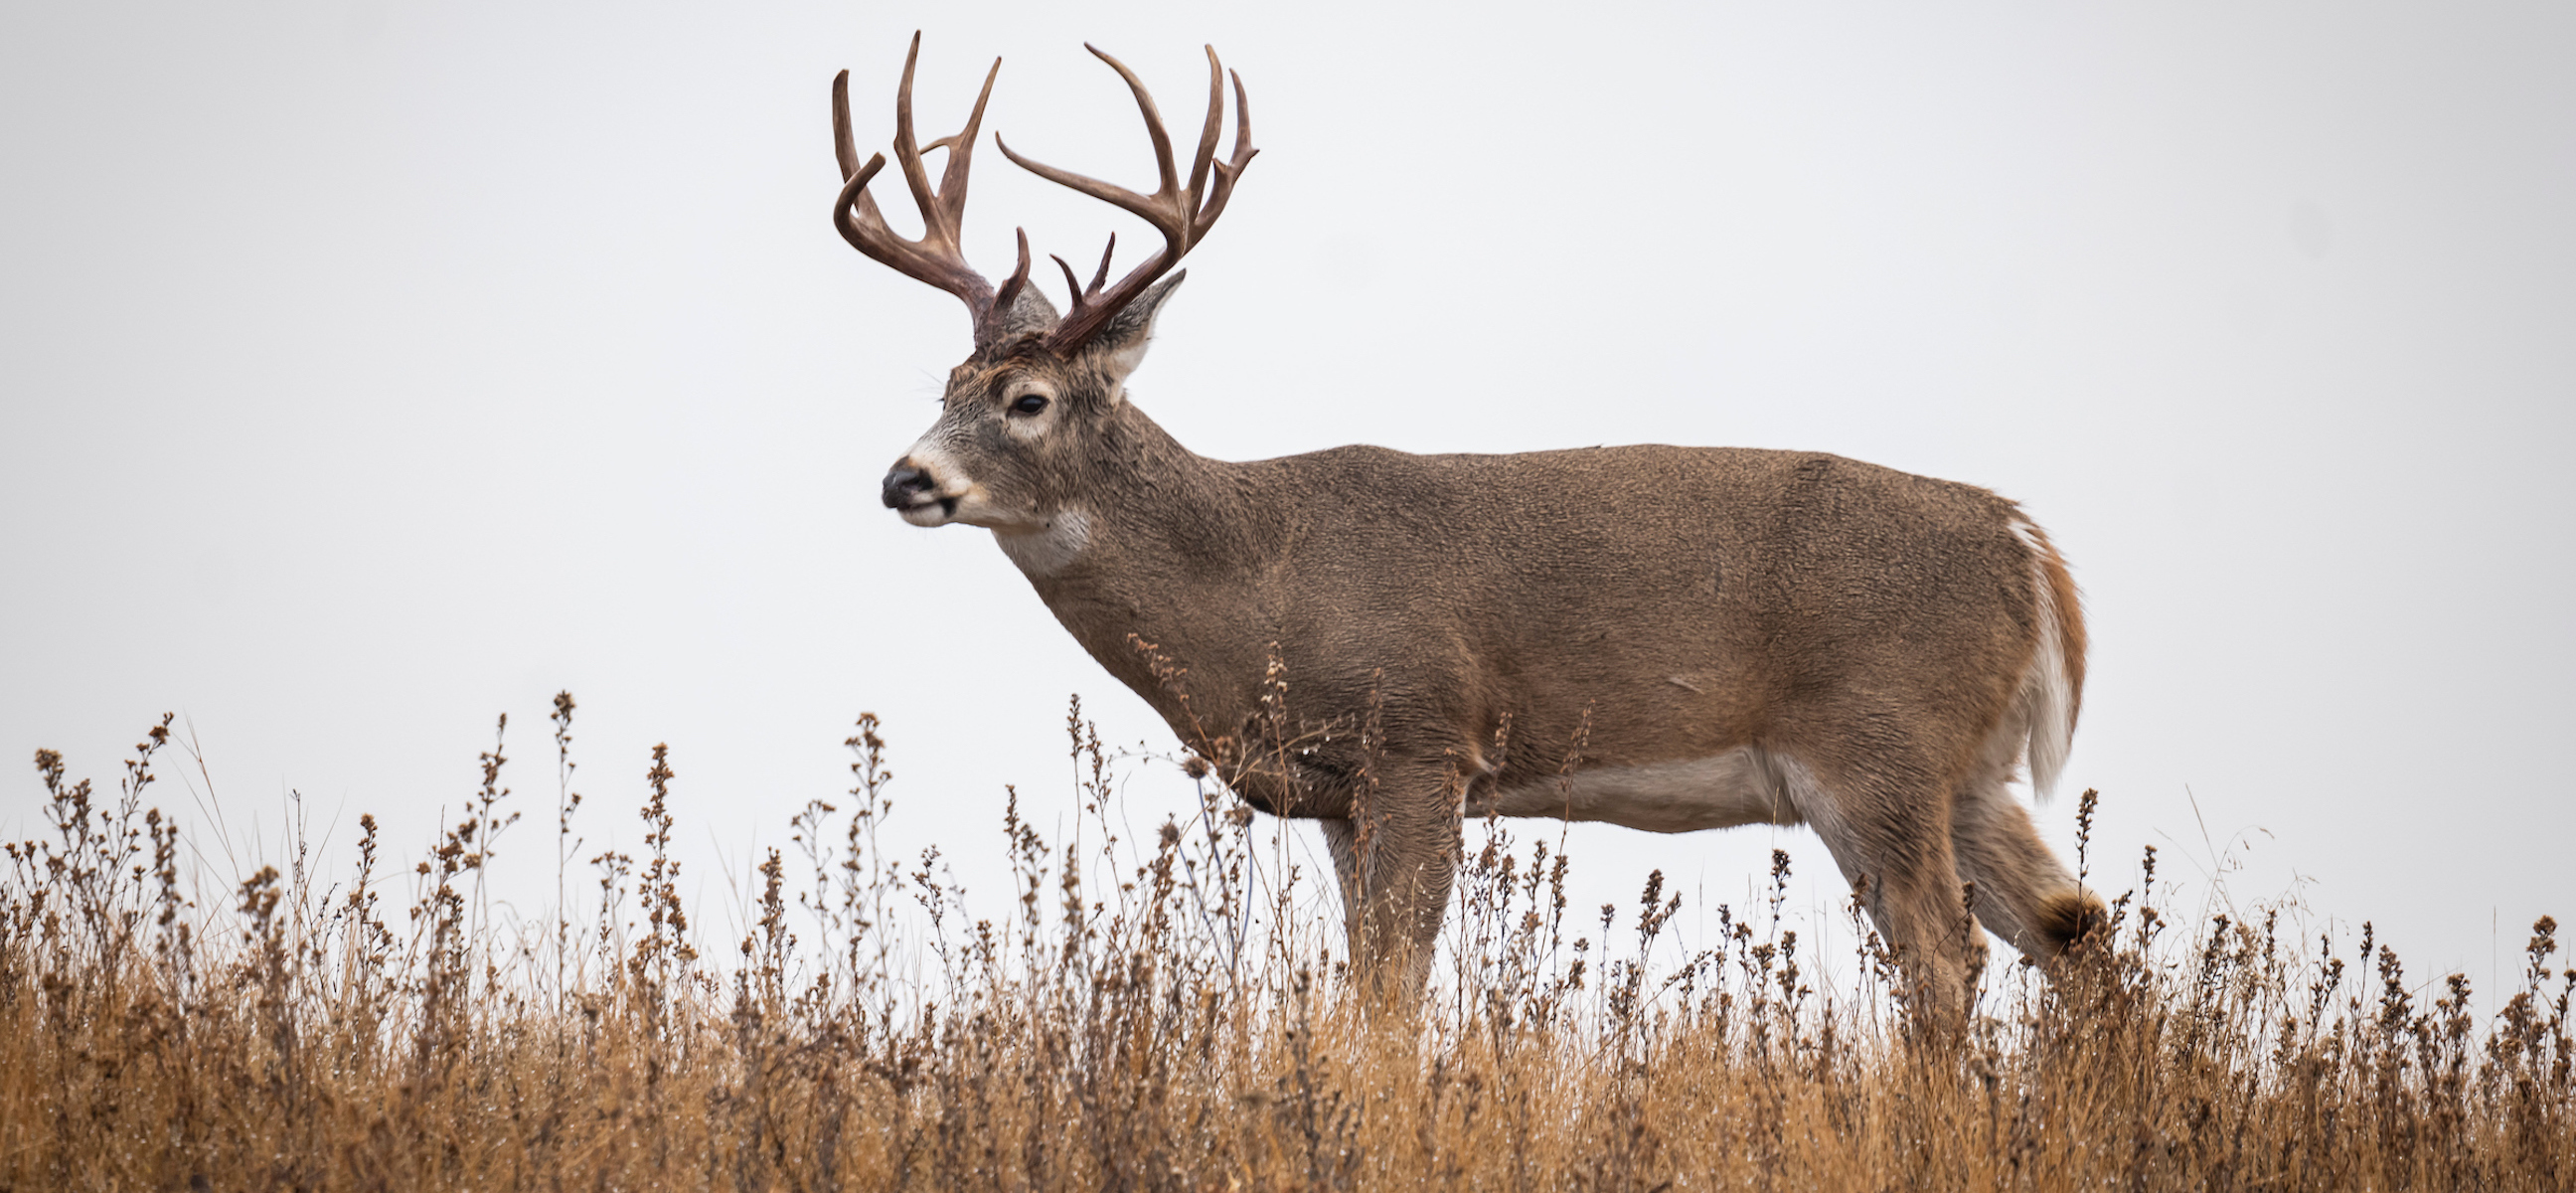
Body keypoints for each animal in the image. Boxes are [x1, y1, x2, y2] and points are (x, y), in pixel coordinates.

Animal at [830, 34, 2102, 1018]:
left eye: (1026, 401)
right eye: (946, 383)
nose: (903, 479)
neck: (1255, 582)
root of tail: (2027, 548)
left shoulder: (1420, 737)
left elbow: (1397, 987)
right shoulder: (1336, 792)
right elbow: (1366, 981)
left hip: (1876, 745)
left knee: (1948, 954)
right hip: (1966, 771)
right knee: (2073, 927)